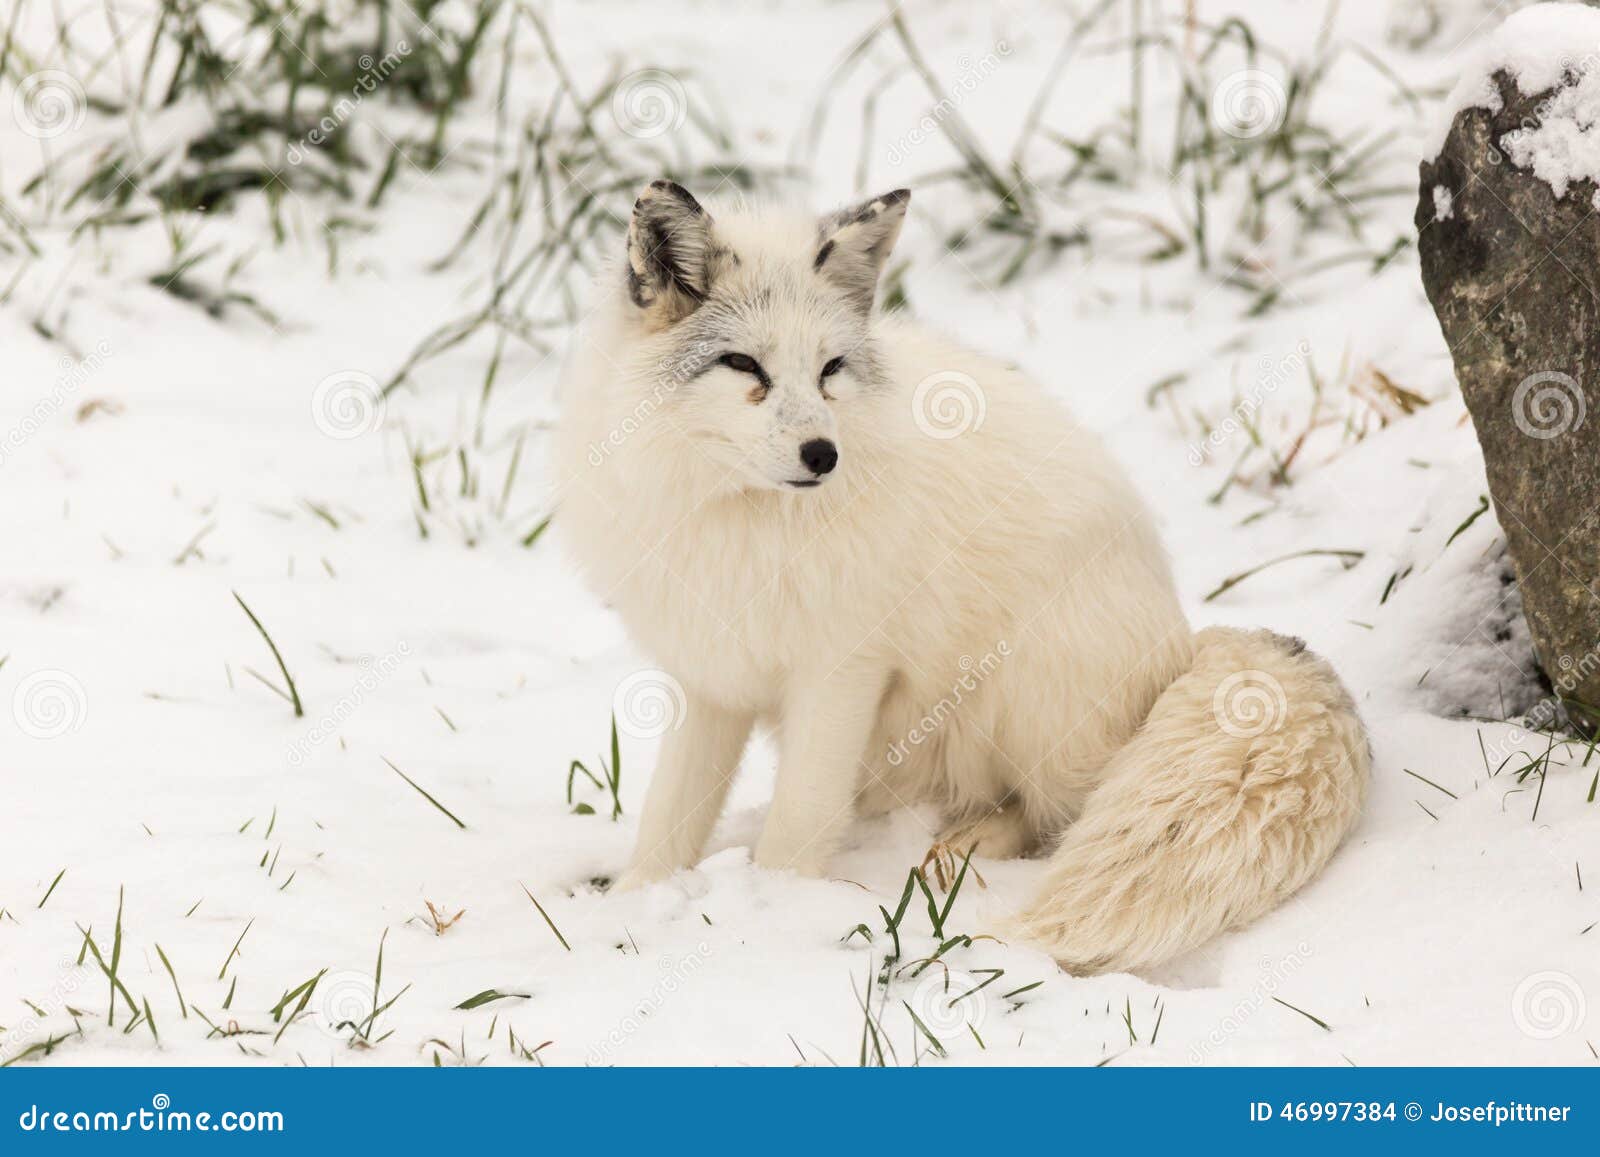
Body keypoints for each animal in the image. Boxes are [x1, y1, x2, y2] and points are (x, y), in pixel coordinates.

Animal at [554, 180, 1369, 974]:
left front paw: (773, 911)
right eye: (745, 367)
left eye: (829, 370)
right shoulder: (710, 675)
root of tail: (1182, 648)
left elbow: (796, 824)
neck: (743, 522)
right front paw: (637, 902)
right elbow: (670, 815)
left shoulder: (841, 671)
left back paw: (961, 851)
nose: (823, 455)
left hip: (1021, 690)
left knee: (1056, 817)